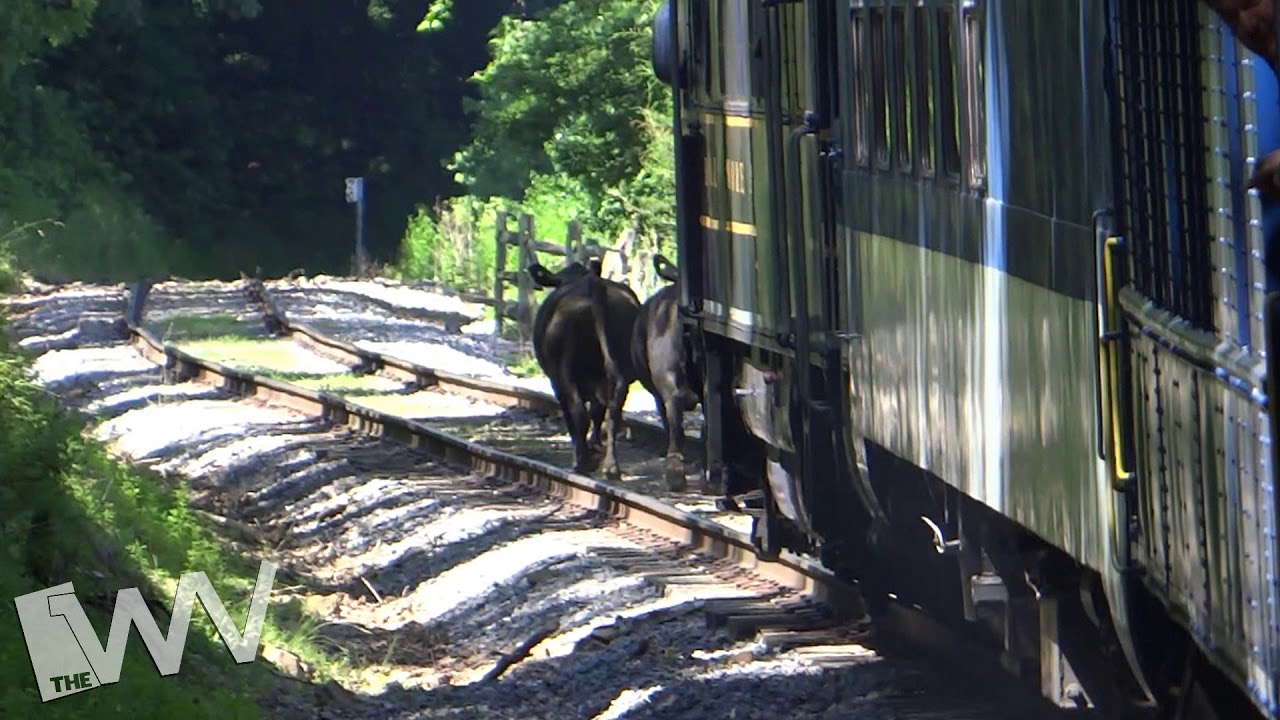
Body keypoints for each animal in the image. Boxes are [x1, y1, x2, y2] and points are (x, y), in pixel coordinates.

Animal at [526, 259, 641, 481]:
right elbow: (598, 411)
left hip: (564, 374)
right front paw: (595, 445)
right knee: (613, 413)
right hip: (618, 371)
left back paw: (582, 462)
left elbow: (574, 415)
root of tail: (592, 284)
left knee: (579, 413)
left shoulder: (557, 382)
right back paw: (610, 467)